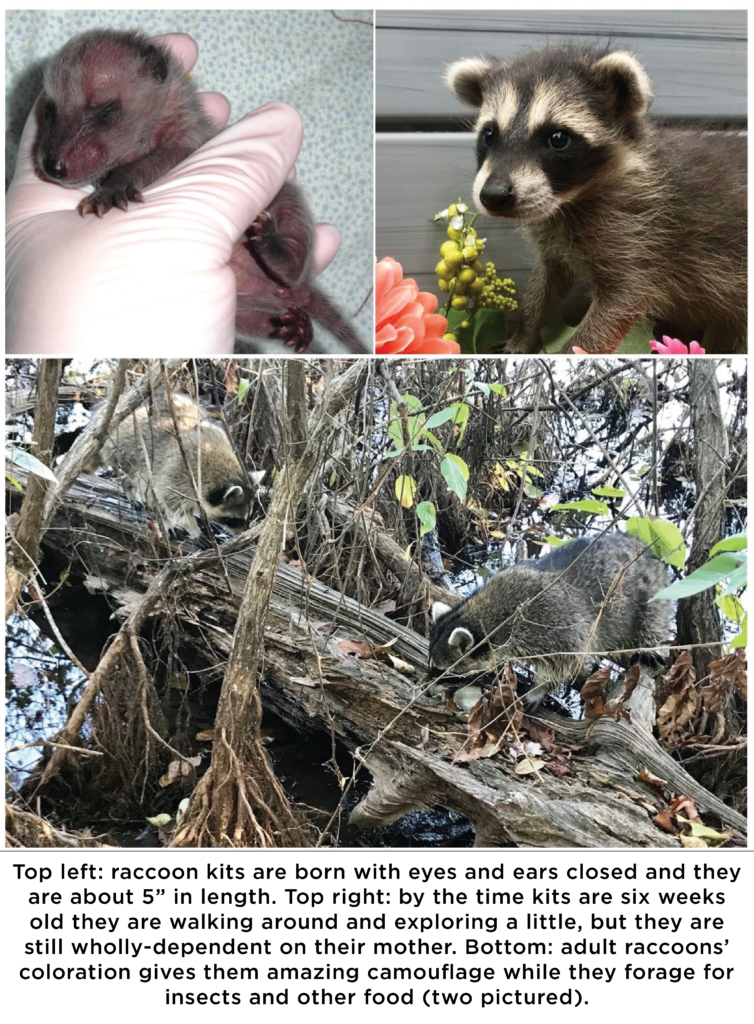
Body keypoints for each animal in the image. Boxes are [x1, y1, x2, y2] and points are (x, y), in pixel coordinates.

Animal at [89, 392, 263, 538]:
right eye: (234, 520)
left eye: (247, 517)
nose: (242, 535)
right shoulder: (179, 472)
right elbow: (170, 501)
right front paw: (191, 526)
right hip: (128, 448)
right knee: (145, 483)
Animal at [429, 534, 671, 709]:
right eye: (433, 666)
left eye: (443, 671)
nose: (428, 689)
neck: (486, 614)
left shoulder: (554, 623)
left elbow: (564, 662)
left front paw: (539, 688)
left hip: (652, 597)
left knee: (652, 622)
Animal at [446, 46, 747, 354]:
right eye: (489, 134)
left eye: (558, 138)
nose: (493, 195)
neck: (570, 200)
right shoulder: (558, 242)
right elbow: (544, 285)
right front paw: (522, 335)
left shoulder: (644, 238)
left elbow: (618, 306)